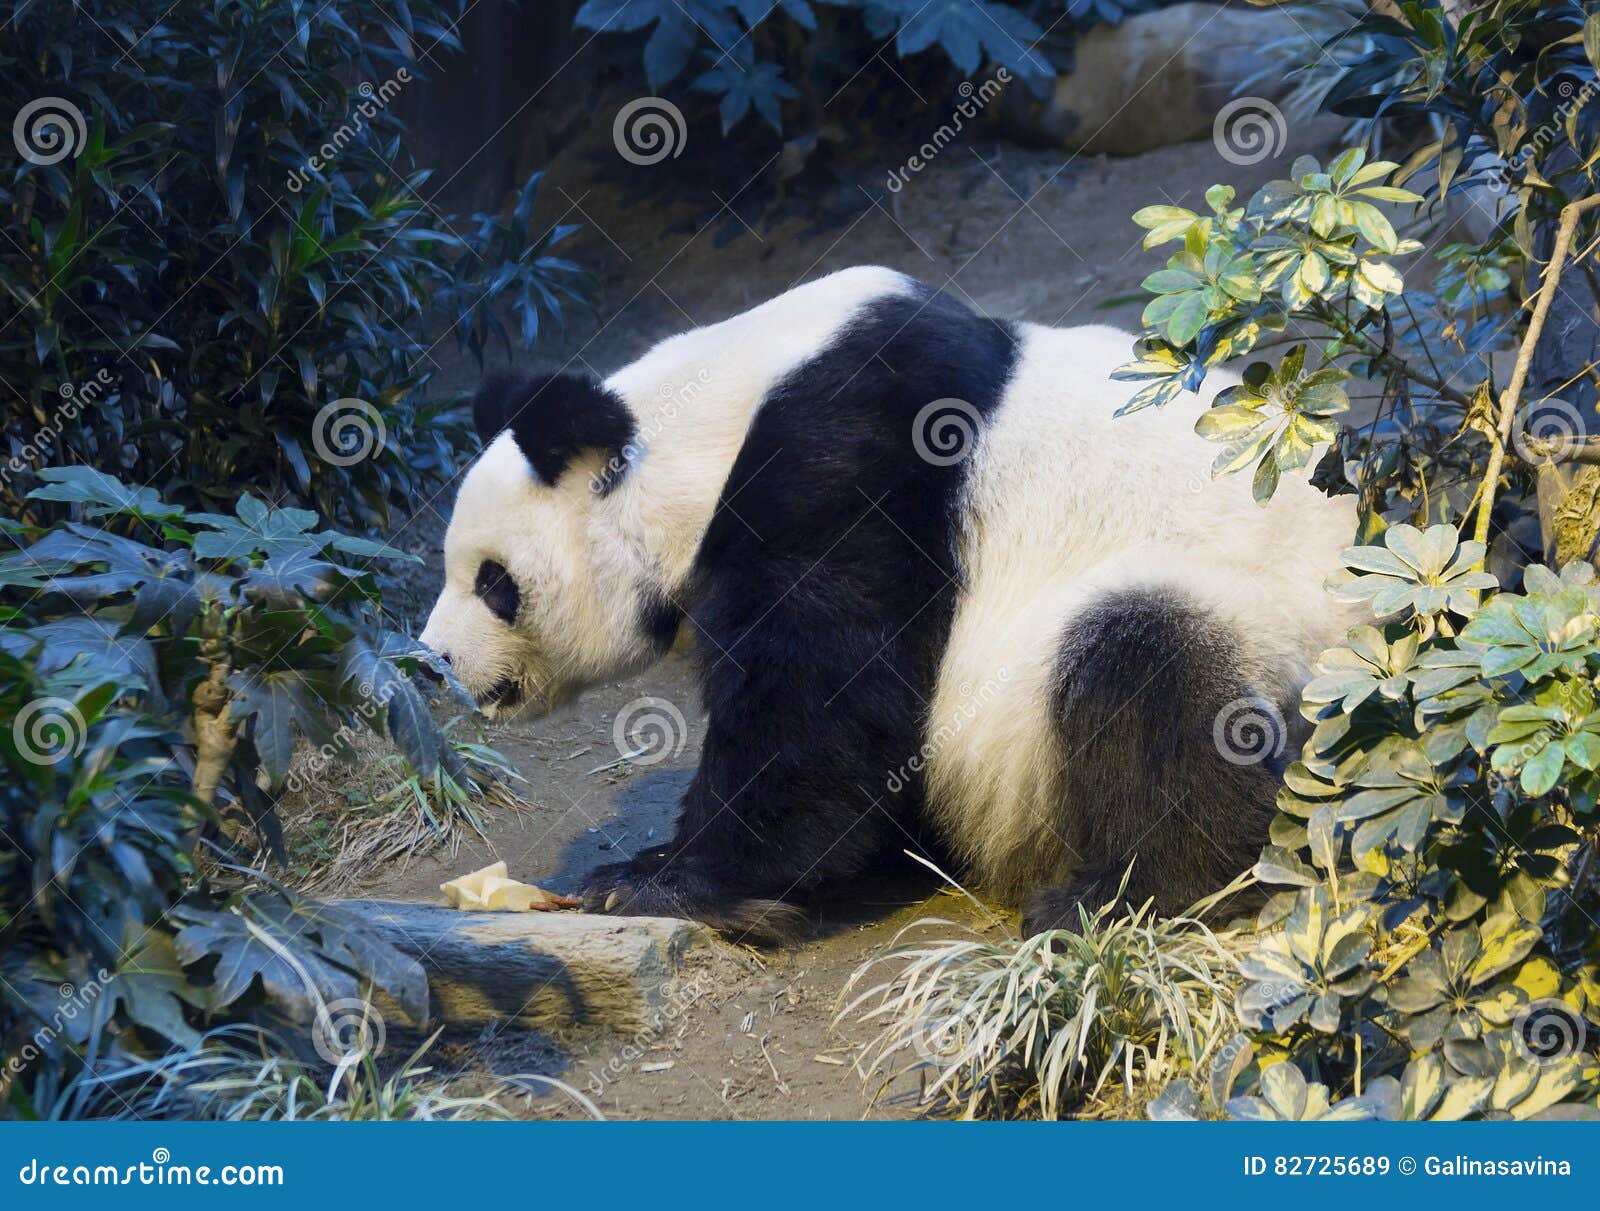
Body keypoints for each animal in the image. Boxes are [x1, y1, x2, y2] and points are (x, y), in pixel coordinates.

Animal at [420, 266, 1359, 943]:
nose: (432, 661)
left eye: (493, 581)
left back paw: (1121, 896)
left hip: (1266, 617)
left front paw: (655, 881)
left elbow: (821, 697)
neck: (705, 423)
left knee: (1151, 673)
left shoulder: (845, 458)